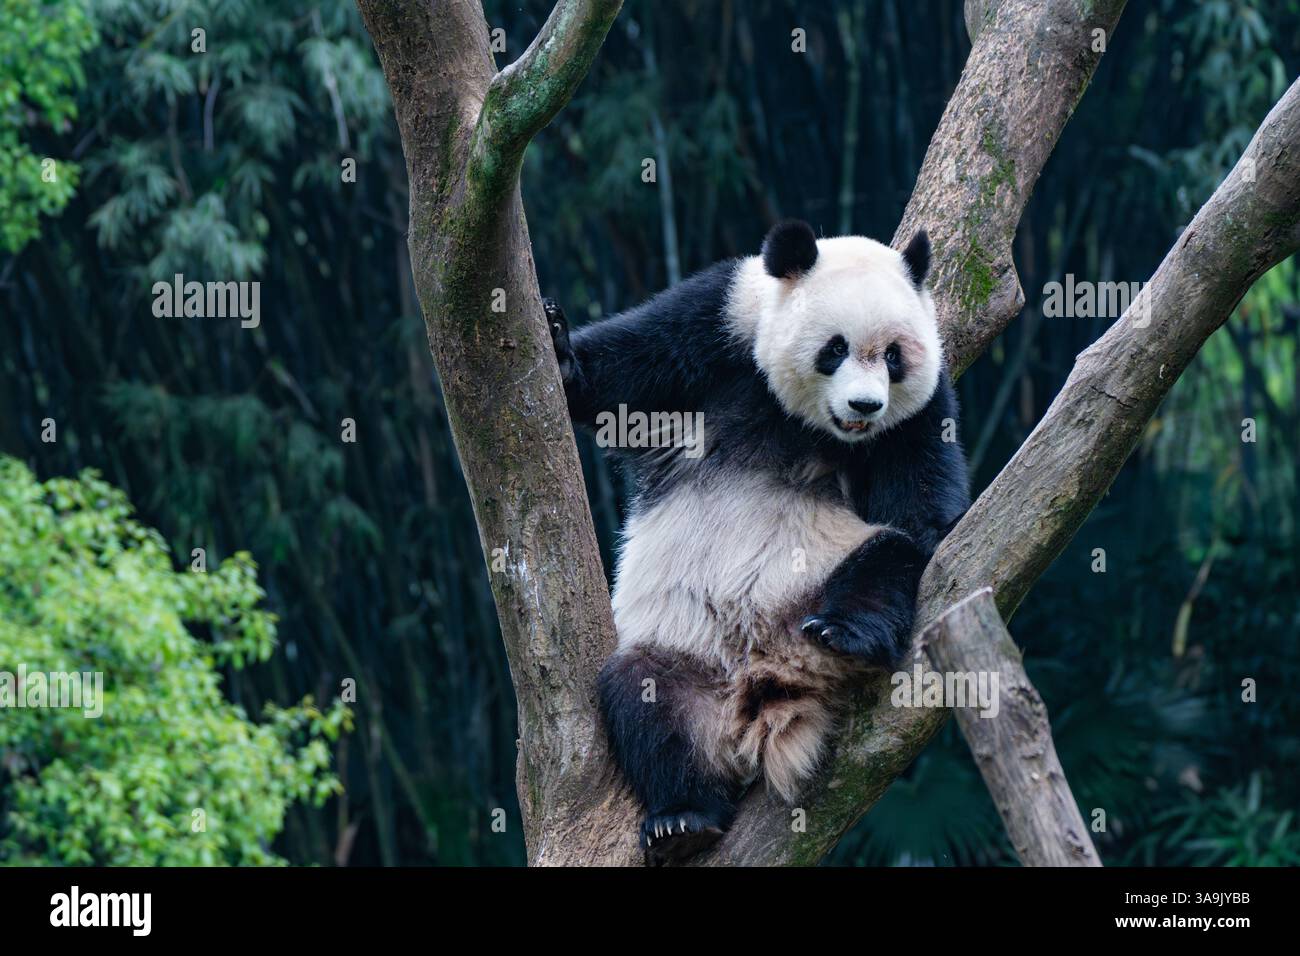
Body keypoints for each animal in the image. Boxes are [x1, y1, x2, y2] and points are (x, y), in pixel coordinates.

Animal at [545, 219, 970, 865]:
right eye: (835, 349)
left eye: (894, 357)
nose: (865, 405)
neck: (809, 421)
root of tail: (767, 676)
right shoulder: (721, 319)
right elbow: (618, 380)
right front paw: (557, 339)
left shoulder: (921, 408)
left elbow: (918, 513)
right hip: (685, 649)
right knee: (643, 693)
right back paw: (684, 819)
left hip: (822, 576)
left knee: (885, 559)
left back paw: (846, 632)